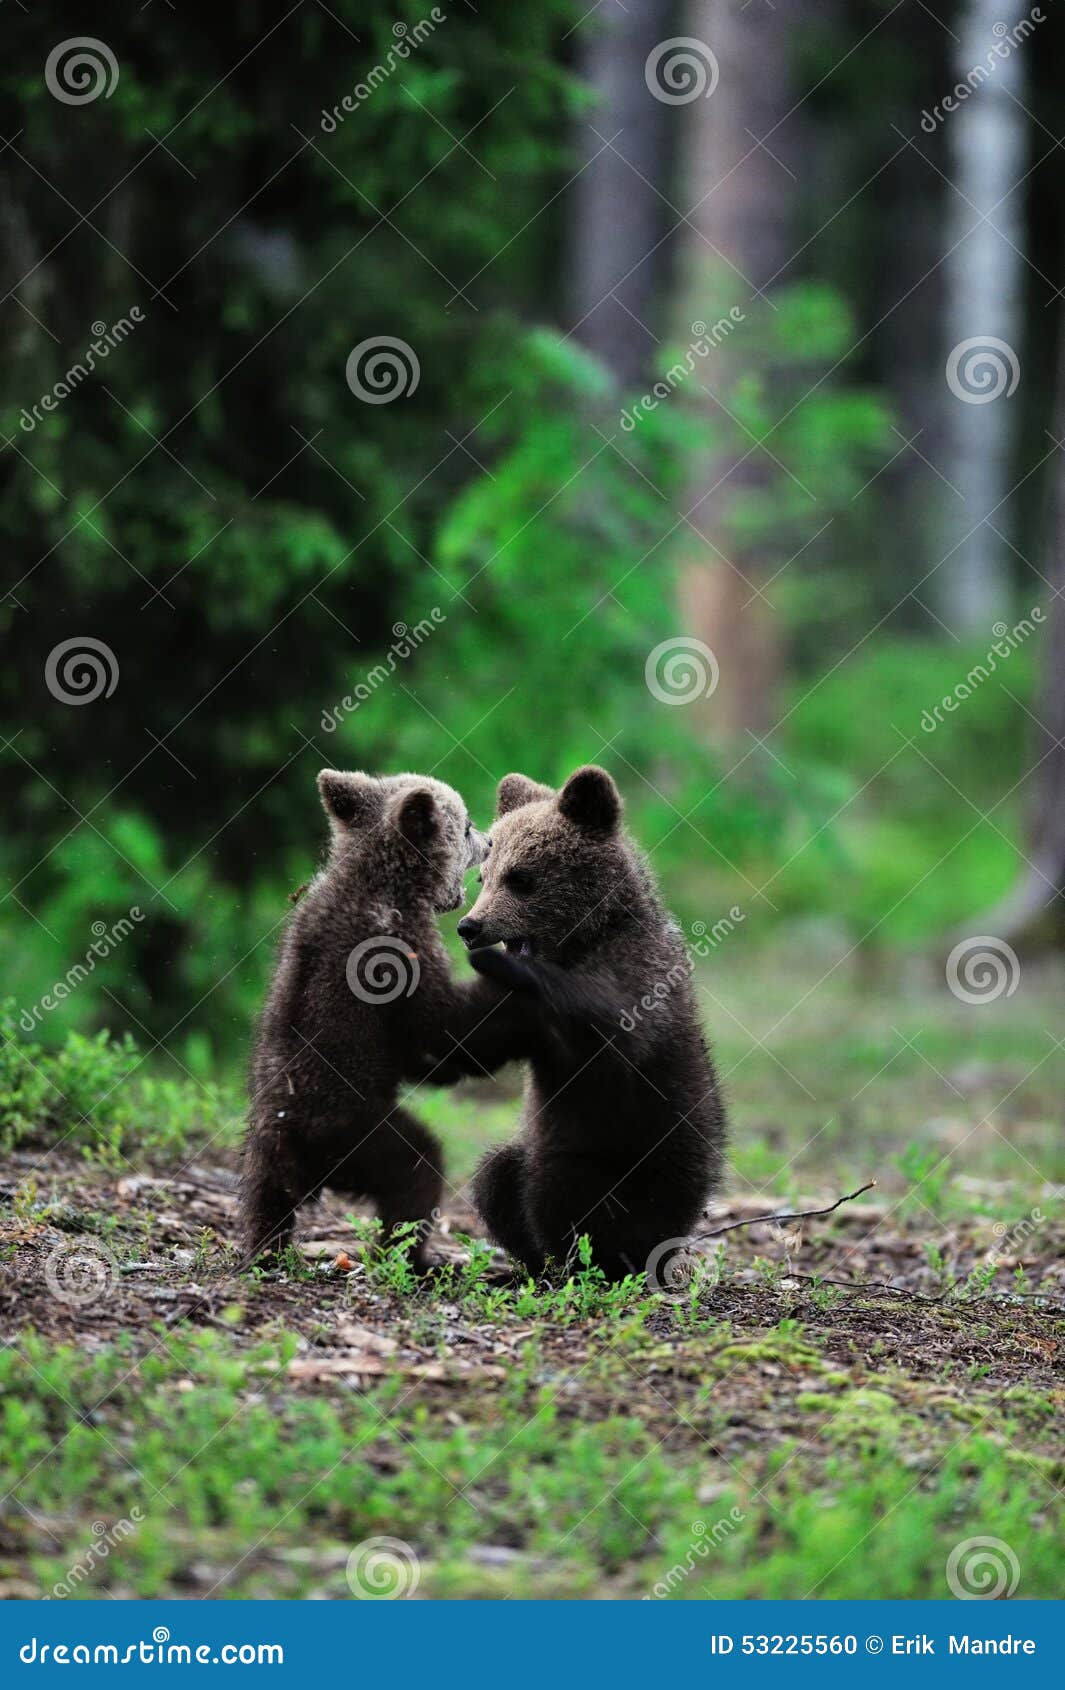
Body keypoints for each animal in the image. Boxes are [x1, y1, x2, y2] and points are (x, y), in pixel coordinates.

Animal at [240, 768, 527, 1269]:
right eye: (467, 825)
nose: (490, 840)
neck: (385, 881)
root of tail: (290, 1145)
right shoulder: (395, 949)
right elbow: (441, 1020)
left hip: (266, 1147)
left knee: (264, 1199)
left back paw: (265, 1250)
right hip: (356, 1130)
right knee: (417, 1167)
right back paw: (412, 1255)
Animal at [437, 764, 727, 1282]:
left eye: (521, 877)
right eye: (483, 876)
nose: (470, 927)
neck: (584, 939)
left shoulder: (637, 972)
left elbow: (614, 1027)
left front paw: (503, 966)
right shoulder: (524, 1027)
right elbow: (482, 1043)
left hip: (643, 1166)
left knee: (572, 1194)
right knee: (500, 1173)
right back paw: (530, 1265)